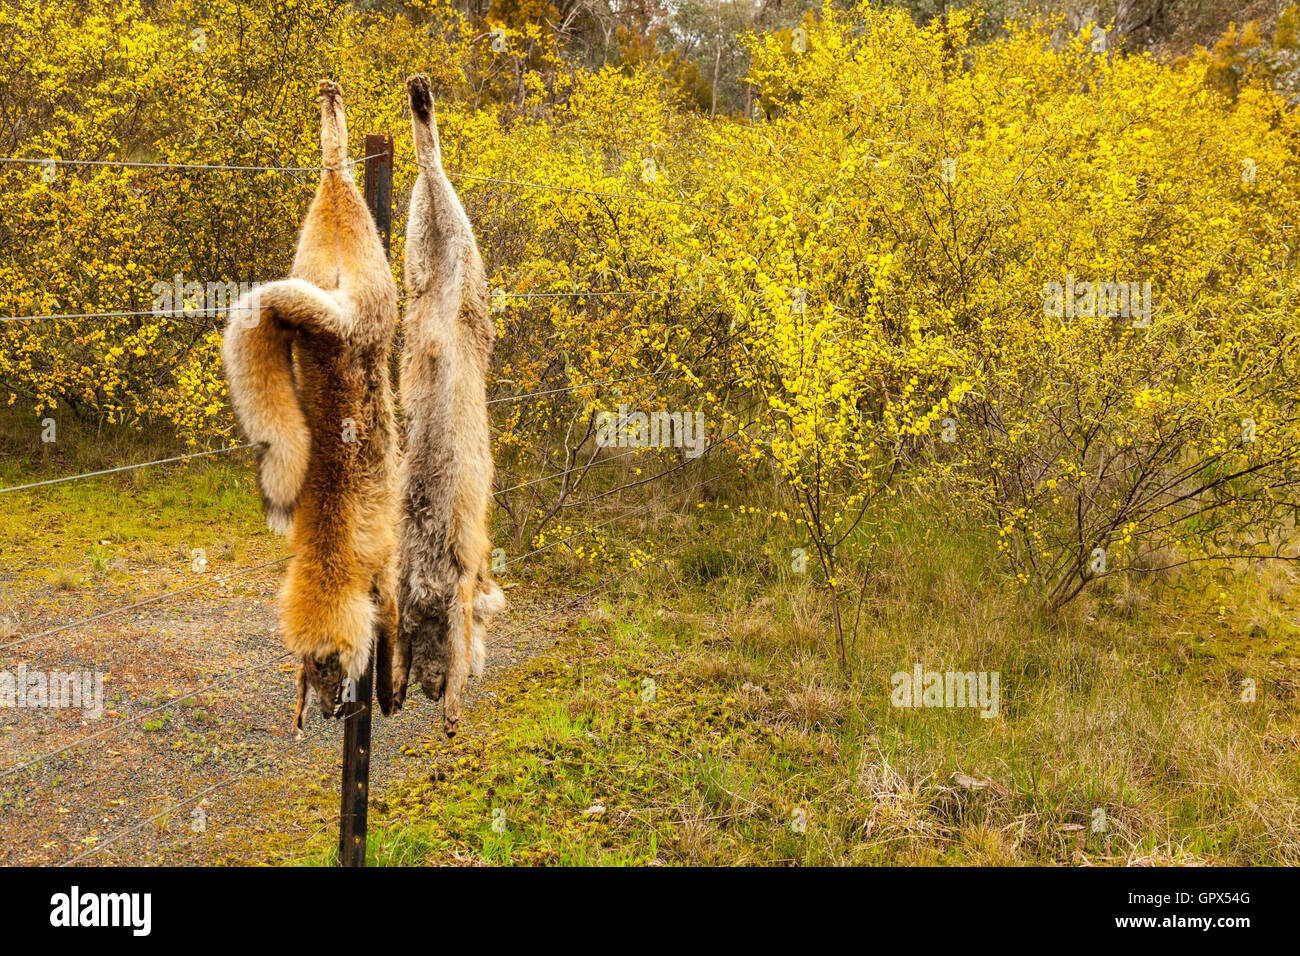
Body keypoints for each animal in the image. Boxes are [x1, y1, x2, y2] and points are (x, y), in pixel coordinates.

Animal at [221, 79, 401, 732]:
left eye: (327, 670)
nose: (323, 716)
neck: (332, 549)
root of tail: (337, 320)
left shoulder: (385, 578)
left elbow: (391, 651)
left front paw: (390, 698)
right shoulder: (382, 583)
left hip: (376, 291)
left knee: (335, 157)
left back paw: (332, 110)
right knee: (334, 156)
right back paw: (332, 110)